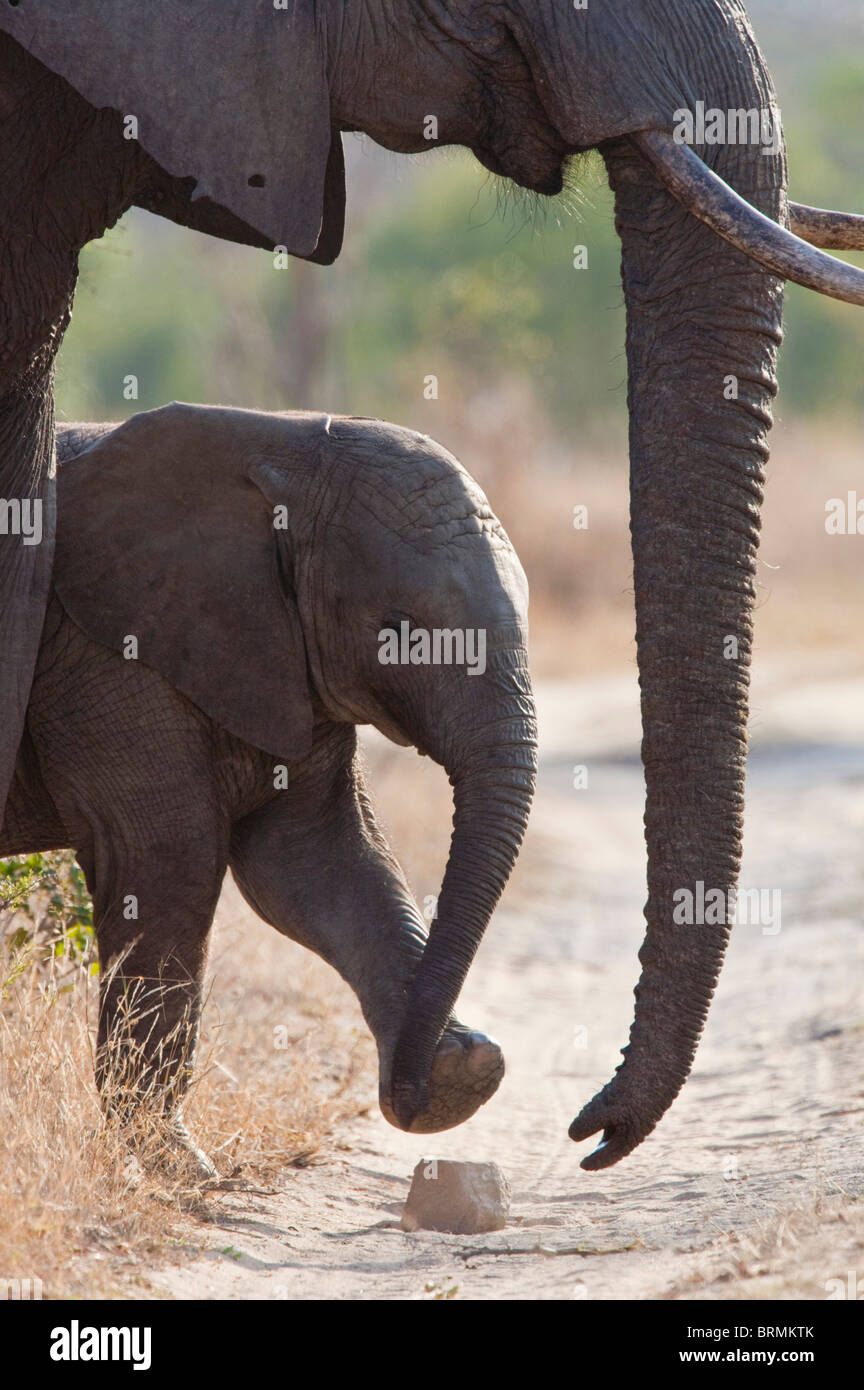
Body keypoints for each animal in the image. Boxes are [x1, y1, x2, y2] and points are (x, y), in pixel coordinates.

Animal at [0, 402, 537, 1161]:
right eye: (401, 632)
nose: (405, 1094)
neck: (285, 443)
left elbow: (318, 860)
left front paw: (464, 1072)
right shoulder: (104, 655)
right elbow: (172, 854)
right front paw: (174, 1163)